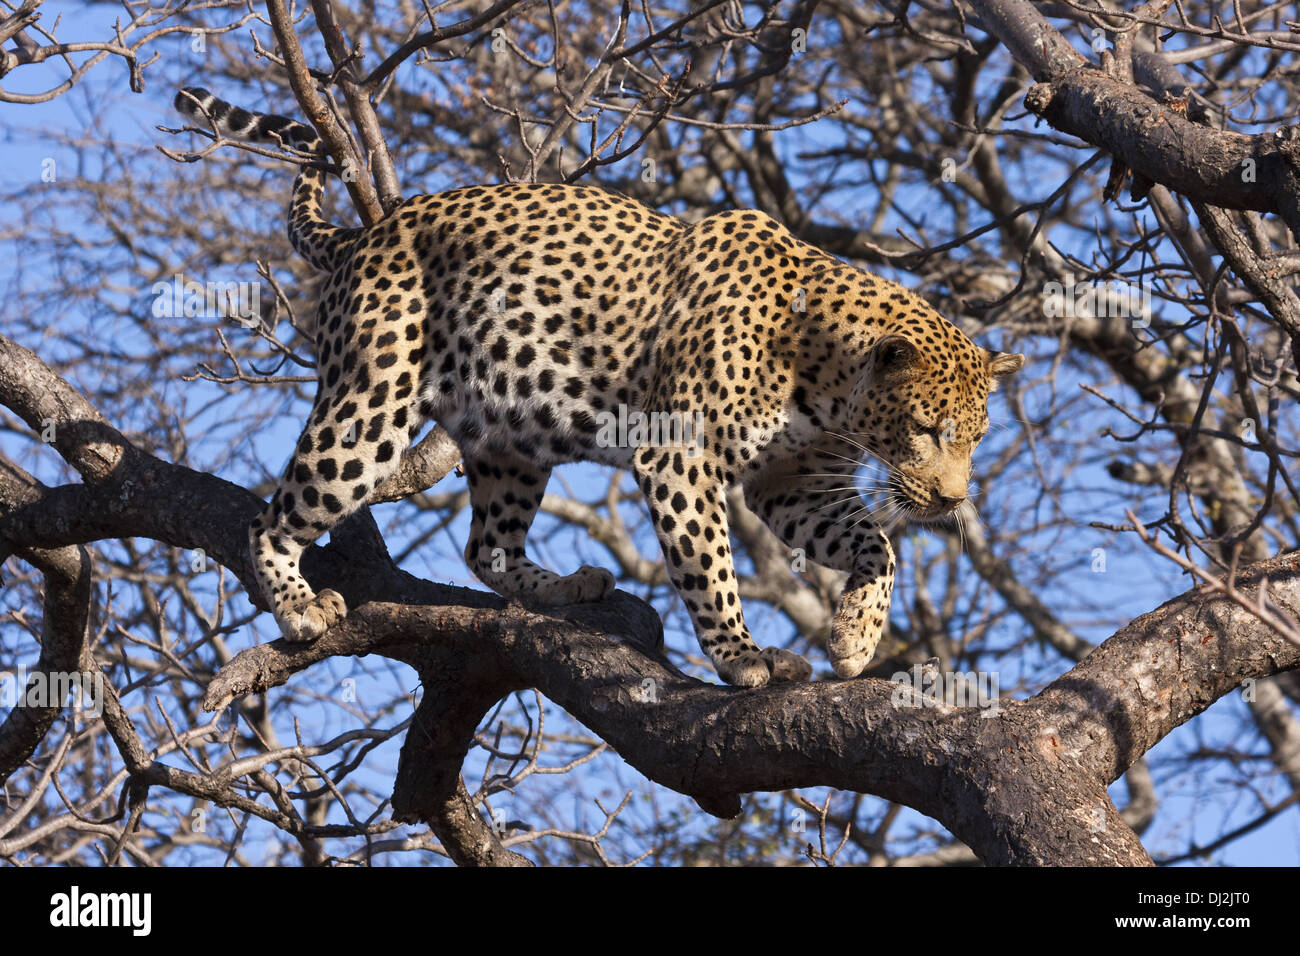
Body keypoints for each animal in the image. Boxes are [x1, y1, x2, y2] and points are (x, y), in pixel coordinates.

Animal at [174, 88, 1024, 688]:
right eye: (925, 431)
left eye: (976, 440)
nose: (953, 500)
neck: (825, 383)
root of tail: (366, 232)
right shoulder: (680, 456)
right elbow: (708, 564)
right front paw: (741, 656)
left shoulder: (794, 480)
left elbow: (878, 544)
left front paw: (855, 635)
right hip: (370, 403)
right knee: (274, 516)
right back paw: (299, 605)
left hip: (512, 433)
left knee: (485, 546)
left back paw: (564, 586)